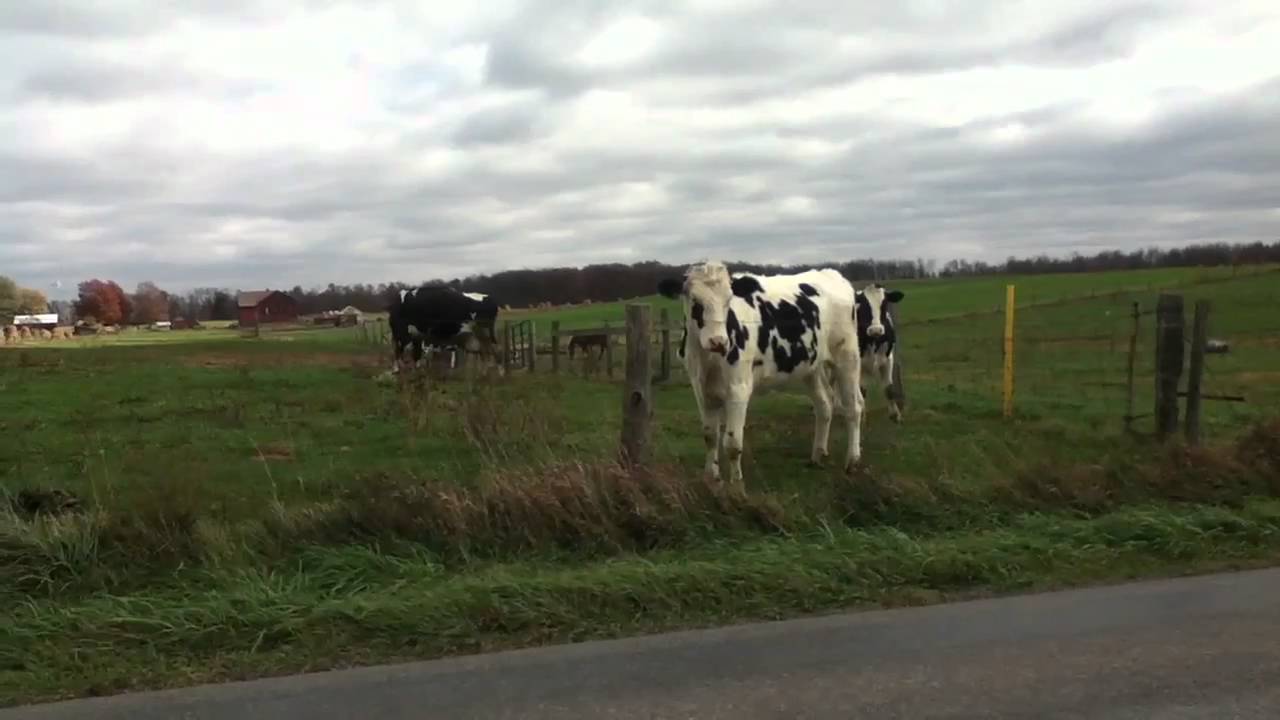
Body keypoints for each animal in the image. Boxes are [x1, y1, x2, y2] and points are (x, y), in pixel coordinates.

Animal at [658, 260, 865, 485]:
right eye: (695, 300)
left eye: (728, 300)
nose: (718, 342)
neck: (707, 358)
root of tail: (832, 274)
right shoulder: (701, 389)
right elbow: (710, 436)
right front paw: (711, 478)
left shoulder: (738, 388)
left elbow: (732, 443)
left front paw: (736, 486)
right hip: (812, 366)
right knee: (825, 404)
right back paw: (817, 455)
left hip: (847, 357)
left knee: (854, 407)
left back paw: (853, 461)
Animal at [855, 284, 905, 422]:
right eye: (863, 304)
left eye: (884, 304)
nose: (875, 330)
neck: (873, 341)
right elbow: (861, 391)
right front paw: (861, 417)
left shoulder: (887, 359)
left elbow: (888, 389)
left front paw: (895, 415)